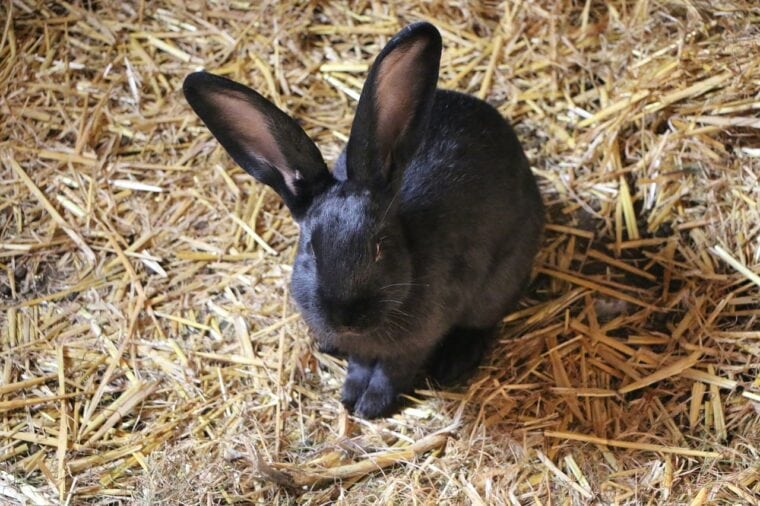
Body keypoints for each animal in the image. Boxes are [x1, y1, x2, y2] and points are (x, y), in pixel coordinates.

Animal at [183, 22, 544, 419]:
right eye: (310, 250)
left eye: (380, 247)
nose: (346, 317)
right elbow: (360, 363)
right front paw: (351, 395)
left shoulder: (416, 343)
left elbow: (393, 370)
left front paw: (370, 405)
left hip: (503, 277)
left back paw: (453, 363)